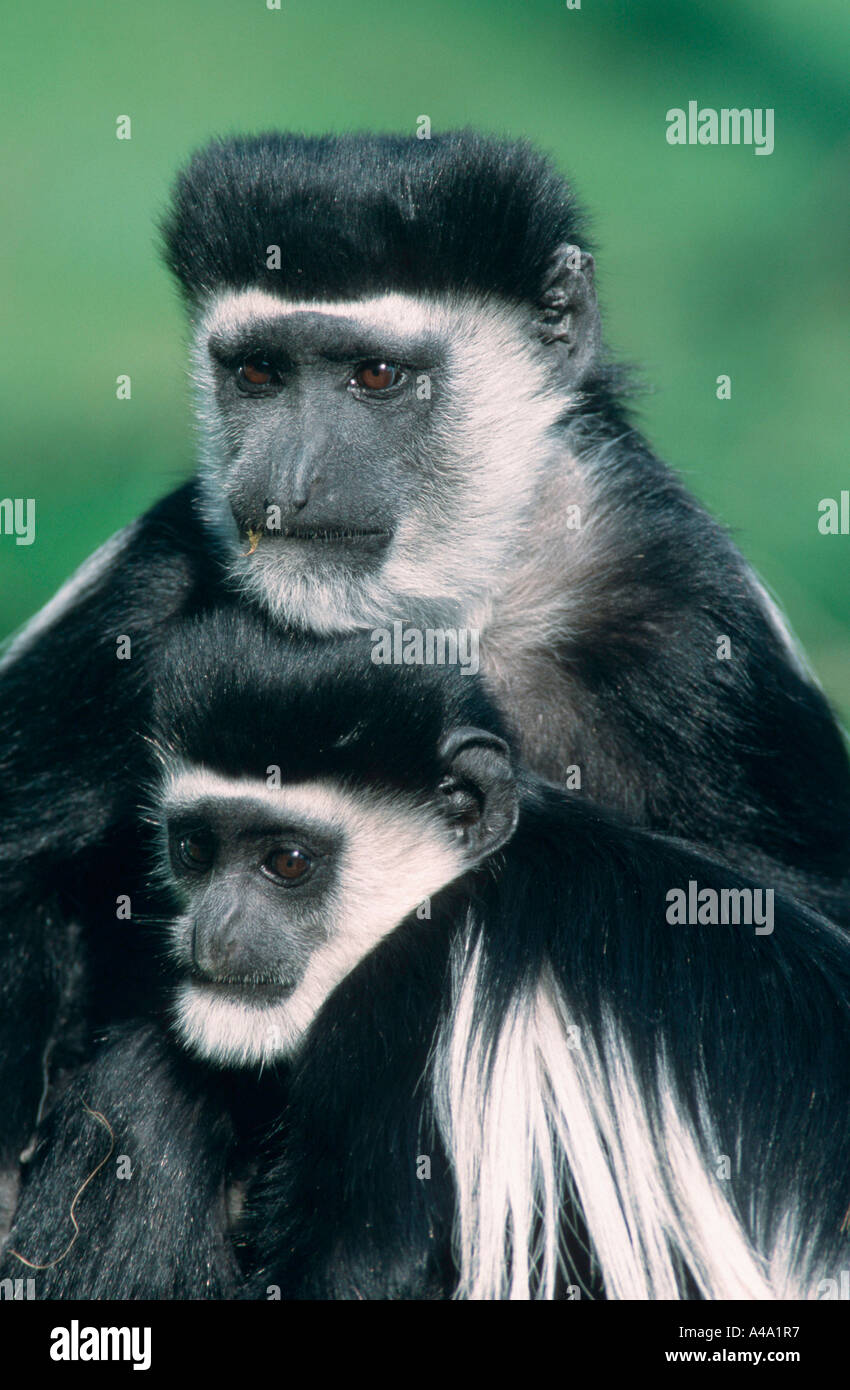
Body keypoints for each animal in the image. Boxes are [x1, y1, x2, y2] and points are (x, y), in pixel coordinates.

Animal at [1, 130, 849, 1204]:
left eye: (375, 376)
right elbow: (20, 863)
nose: (287, 483)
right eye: (259, 372)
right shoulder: (156, 582)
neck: (438, 610)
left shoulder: (691, 624)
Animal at [4, 610, 849, 1301]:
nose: (212, 934)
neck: (448, 884)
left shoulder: (403, 1007)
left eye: (288, 862)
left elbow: (365, 1270)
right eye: (195, 850)